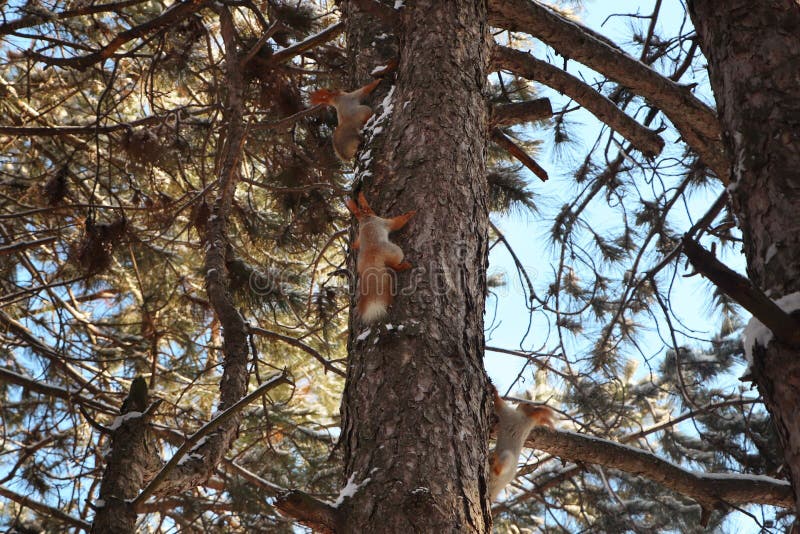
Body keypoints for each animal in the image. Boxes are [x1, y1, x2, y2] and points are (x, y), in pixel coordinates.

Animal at [345, 192, 415, 323]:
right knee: (393, 264)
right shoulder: (383, 222)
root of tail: (372, 256)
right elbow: (397, 223)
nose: (370, 208)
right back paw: (404, 266)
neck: (365, 218)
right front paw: (410, 214)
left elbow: (357, 242)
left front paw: (353, 245)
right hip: (395, 251)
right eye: (367, 207)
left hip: (360, 265)